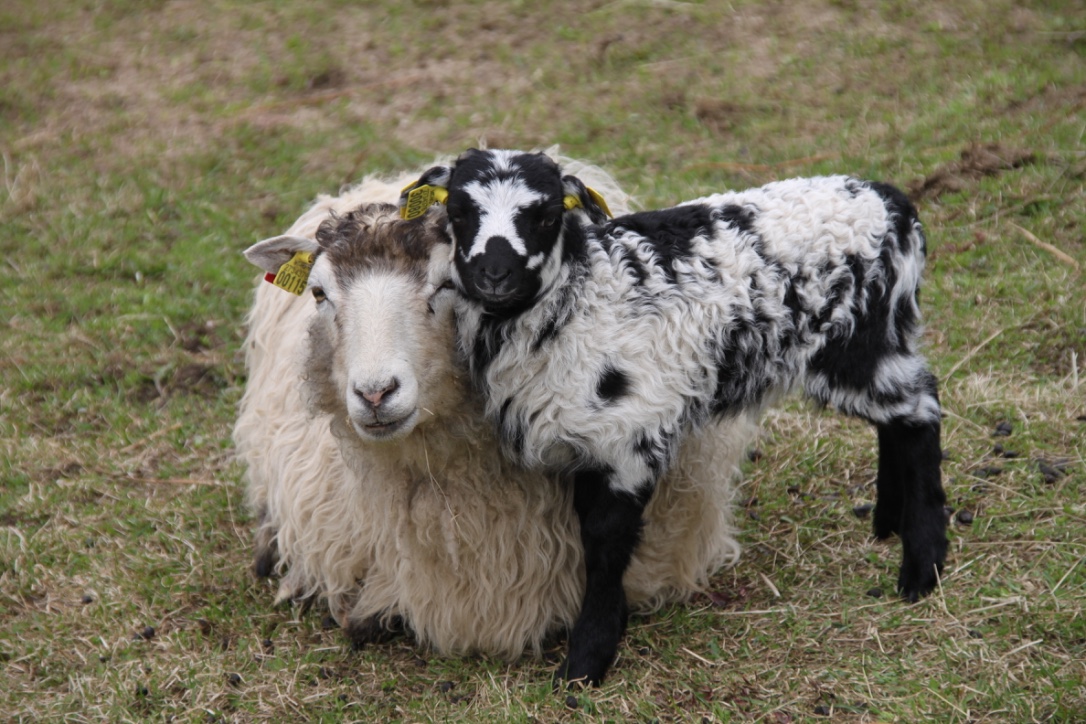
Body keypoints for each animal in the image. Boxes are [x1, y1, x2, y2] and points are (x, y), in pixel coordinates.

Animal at [398, 148, 949, 685]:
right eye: (458, 212)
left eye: (548, 214)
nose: (494, 275)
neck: (577, 299)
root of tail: (891, 202)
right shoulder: (586, 439)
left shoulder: (628, 434)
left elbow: (603, 542)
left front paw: (587, 659)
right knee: (898, 420)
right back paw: (887, 522)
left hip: (859, 344)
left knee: (921, 411)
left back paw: (921, 566)